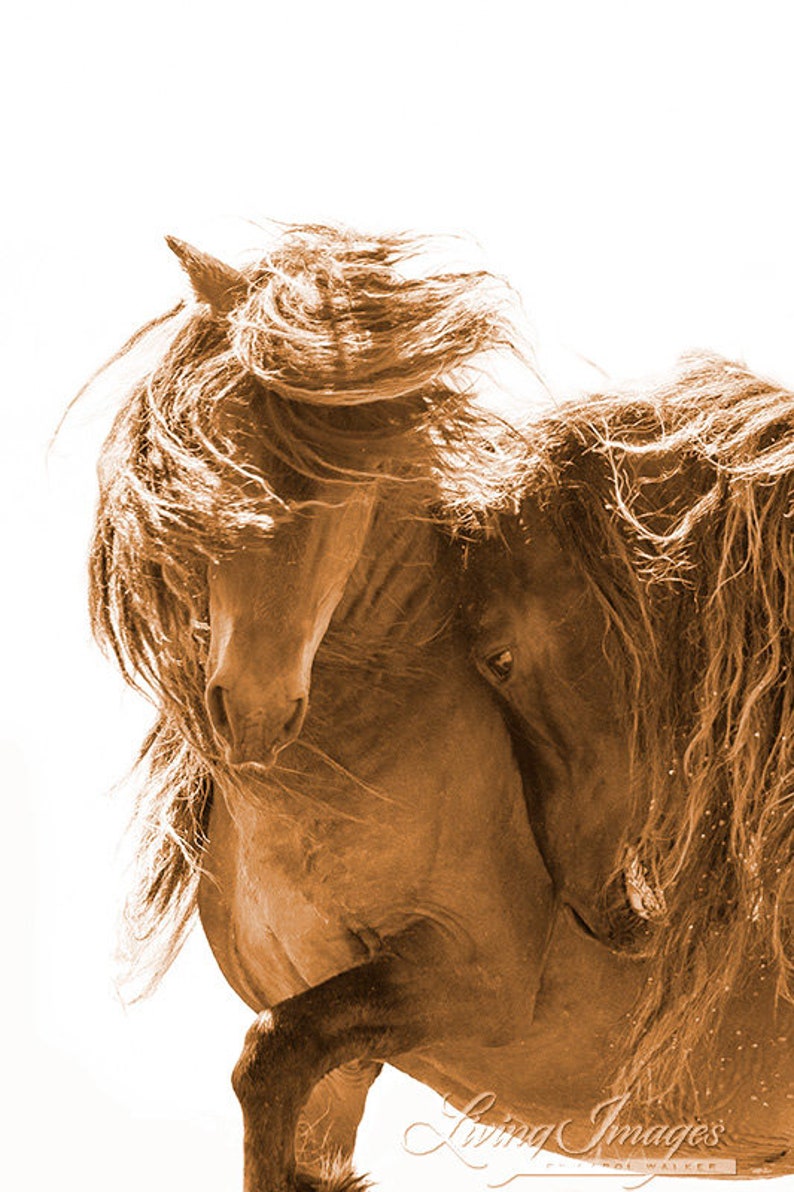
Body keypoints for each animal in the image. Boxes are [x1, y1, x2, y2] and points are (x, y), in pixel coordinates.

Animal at [87, 224, 793, 1189]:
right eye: (225, 453)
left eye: (353, 485)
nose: (257, 709)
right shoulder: (341, 1056)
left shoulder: (473, 982)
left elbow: (265, 1057)